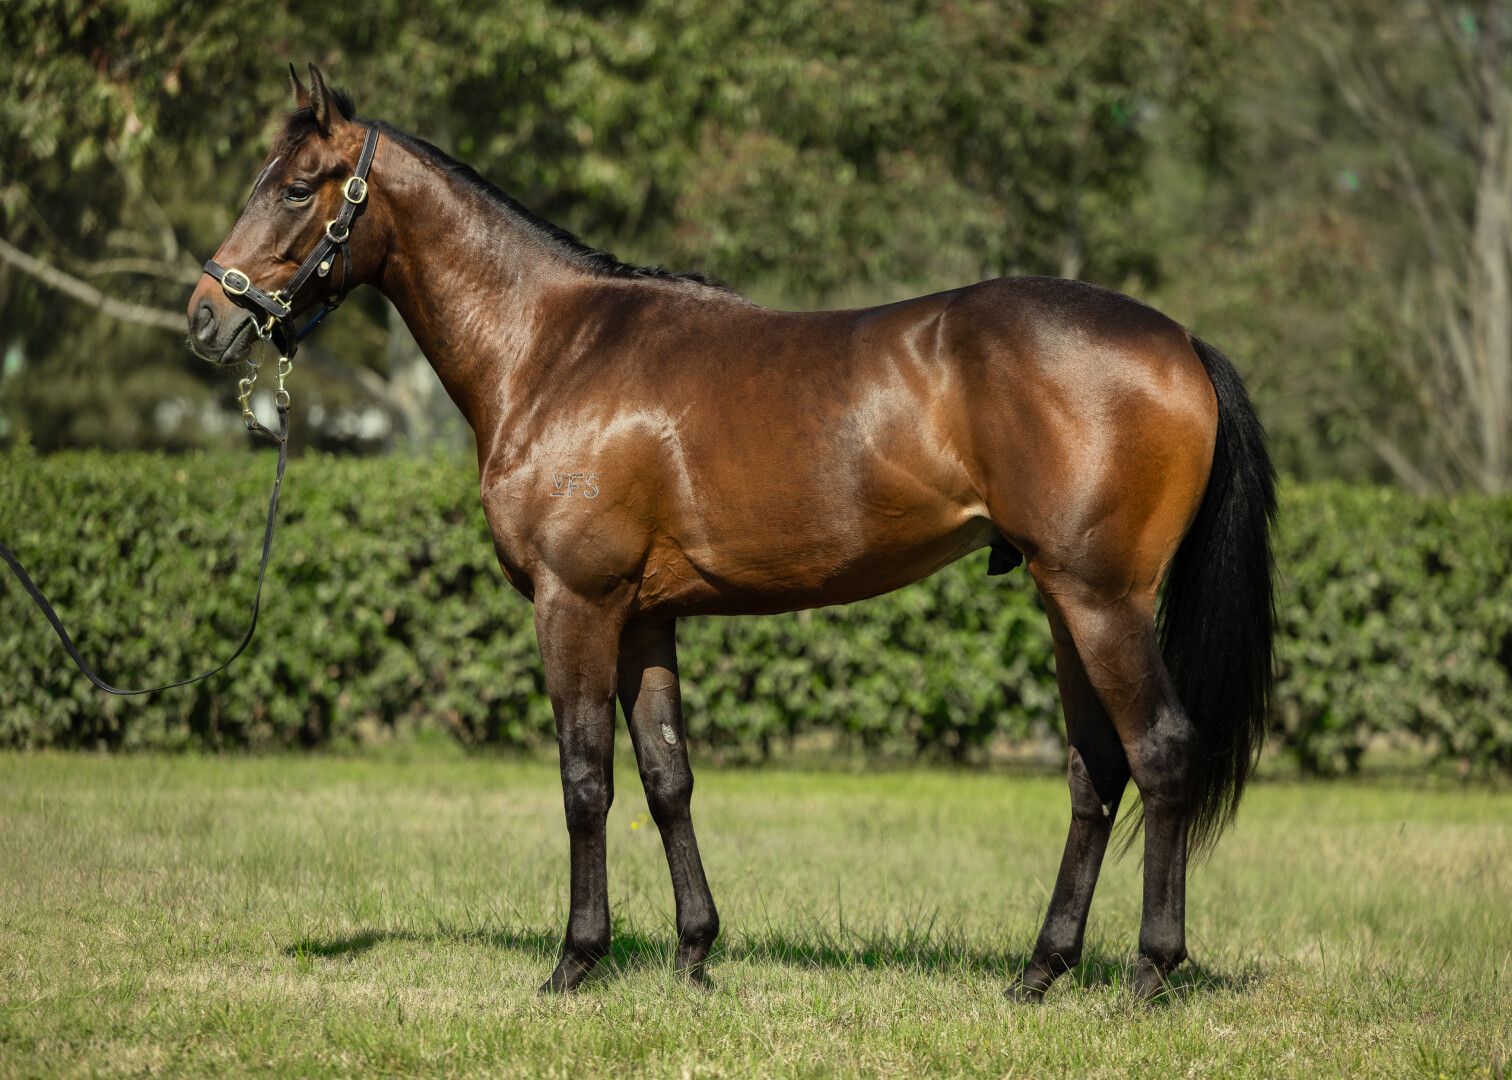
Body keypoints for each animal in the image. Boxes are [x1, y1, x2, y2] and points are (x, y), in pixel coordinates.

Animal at [188, 65, 1275, 1001]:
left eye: (296, 187)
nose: (204, 317)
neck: (551, 348)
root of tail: (1179, 341)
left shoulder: (575, 604)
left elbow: (585, 780)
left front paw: (575, 961)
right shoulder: (643, 618)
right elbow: (668, 778)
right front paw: (693, 957)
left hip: (1101, 601)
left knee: (1160, 753)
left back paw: (1147, 974)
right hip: (1063, 601)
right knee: (1096, 772)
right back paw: (1039, 974)